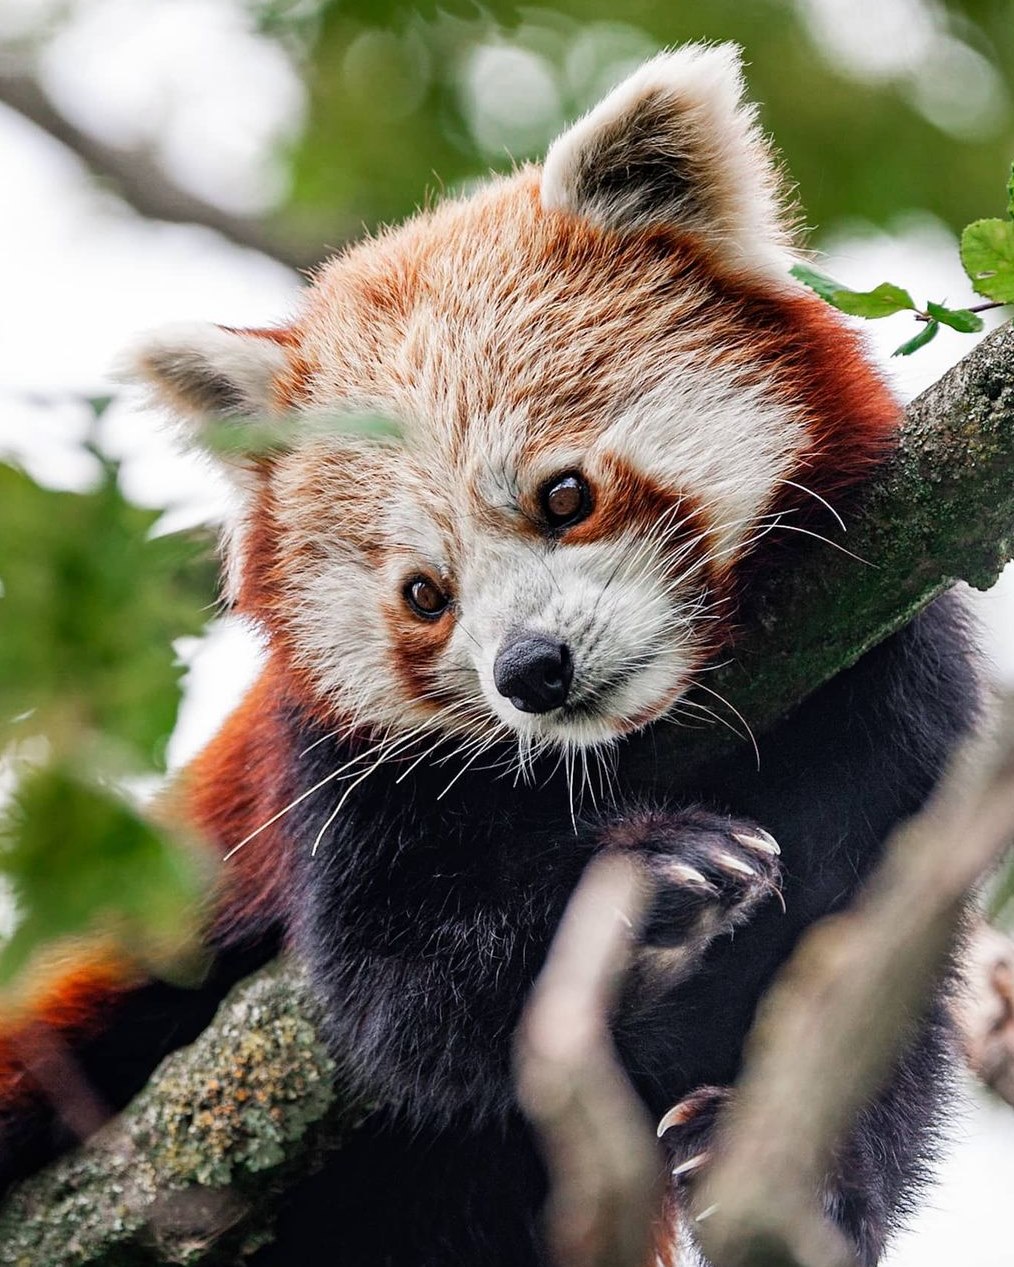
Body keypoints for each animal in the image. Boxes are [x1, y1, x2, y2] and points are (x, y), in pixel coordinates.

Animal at [0, 44, 978, 1266]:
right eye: (425, 595)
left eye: (564, 495)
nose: (532, 671)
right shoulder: (329, 775)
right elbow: (401, 986)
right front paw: (653, 874)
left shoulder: (895, 670)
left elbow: (871, 980)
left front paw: (796, 1170)